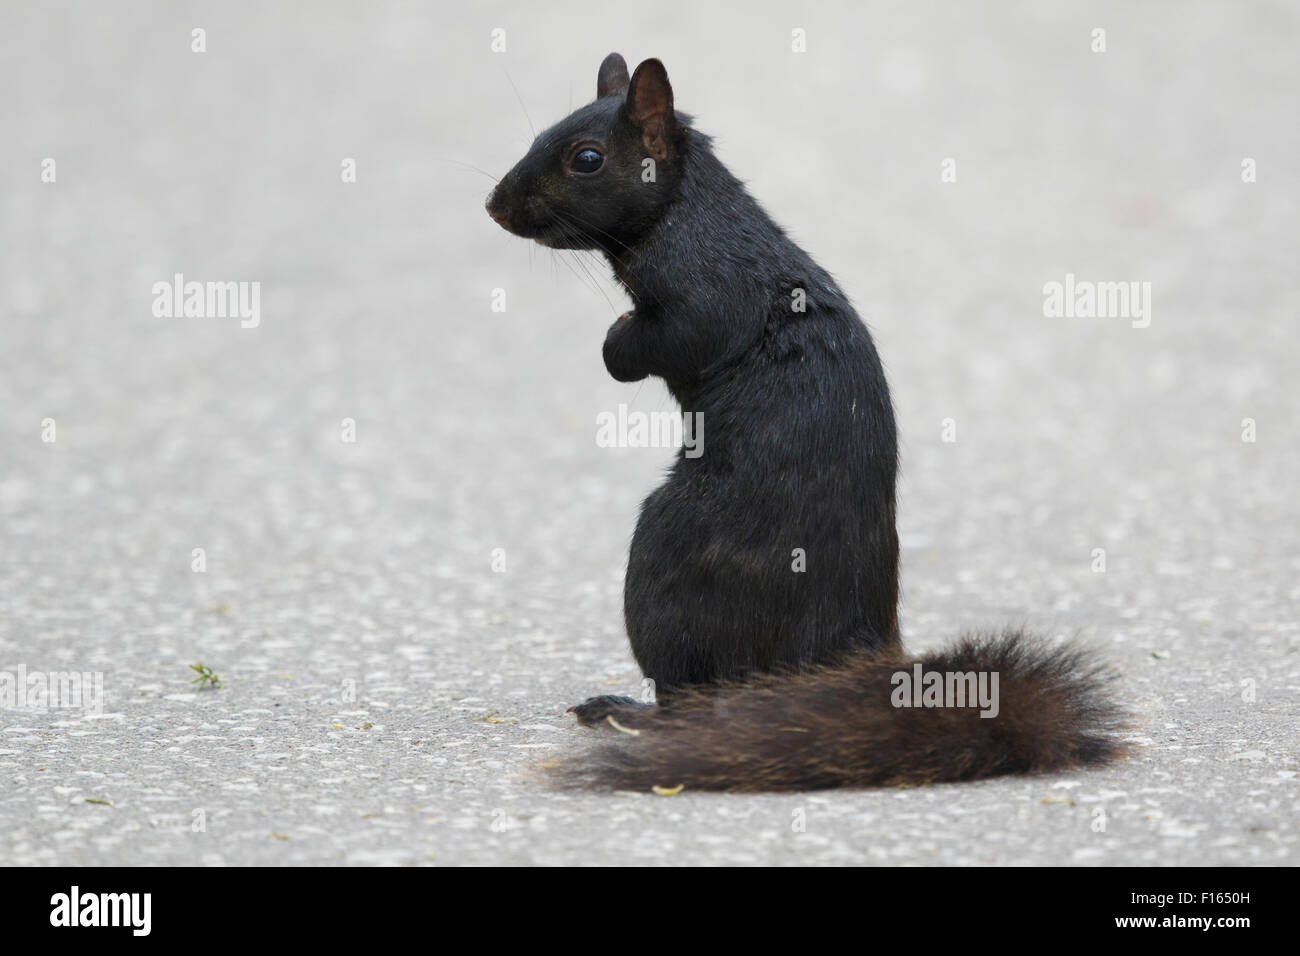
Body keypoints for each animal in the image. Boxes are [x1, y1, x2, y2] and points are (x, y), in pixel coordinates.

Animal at [486, 54, 1126, 792]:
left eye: (586, 158)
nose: (495, 205)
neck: (685, 215)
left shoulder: (707, 298)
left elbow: (663, 340)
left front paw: (615, 345)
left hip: (671, 555)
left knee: (696, 696)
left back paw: (631, 716)